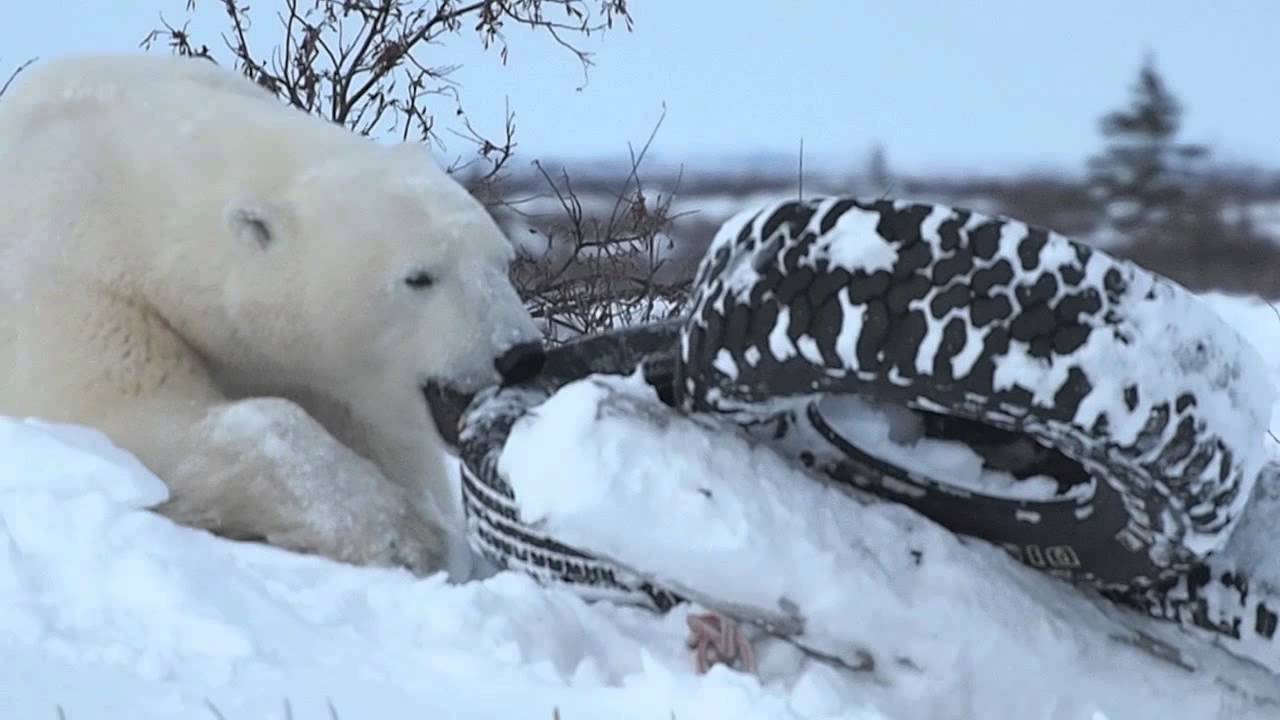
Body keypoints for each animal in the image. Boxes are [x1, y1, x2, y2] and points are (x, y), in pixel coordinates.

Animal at [0, 52, 546, 578]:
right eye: (420, 277)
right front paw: (408, 535)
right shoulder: (75, 281)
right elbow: (128, 415)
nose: (519, 354)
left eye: (502, 261)